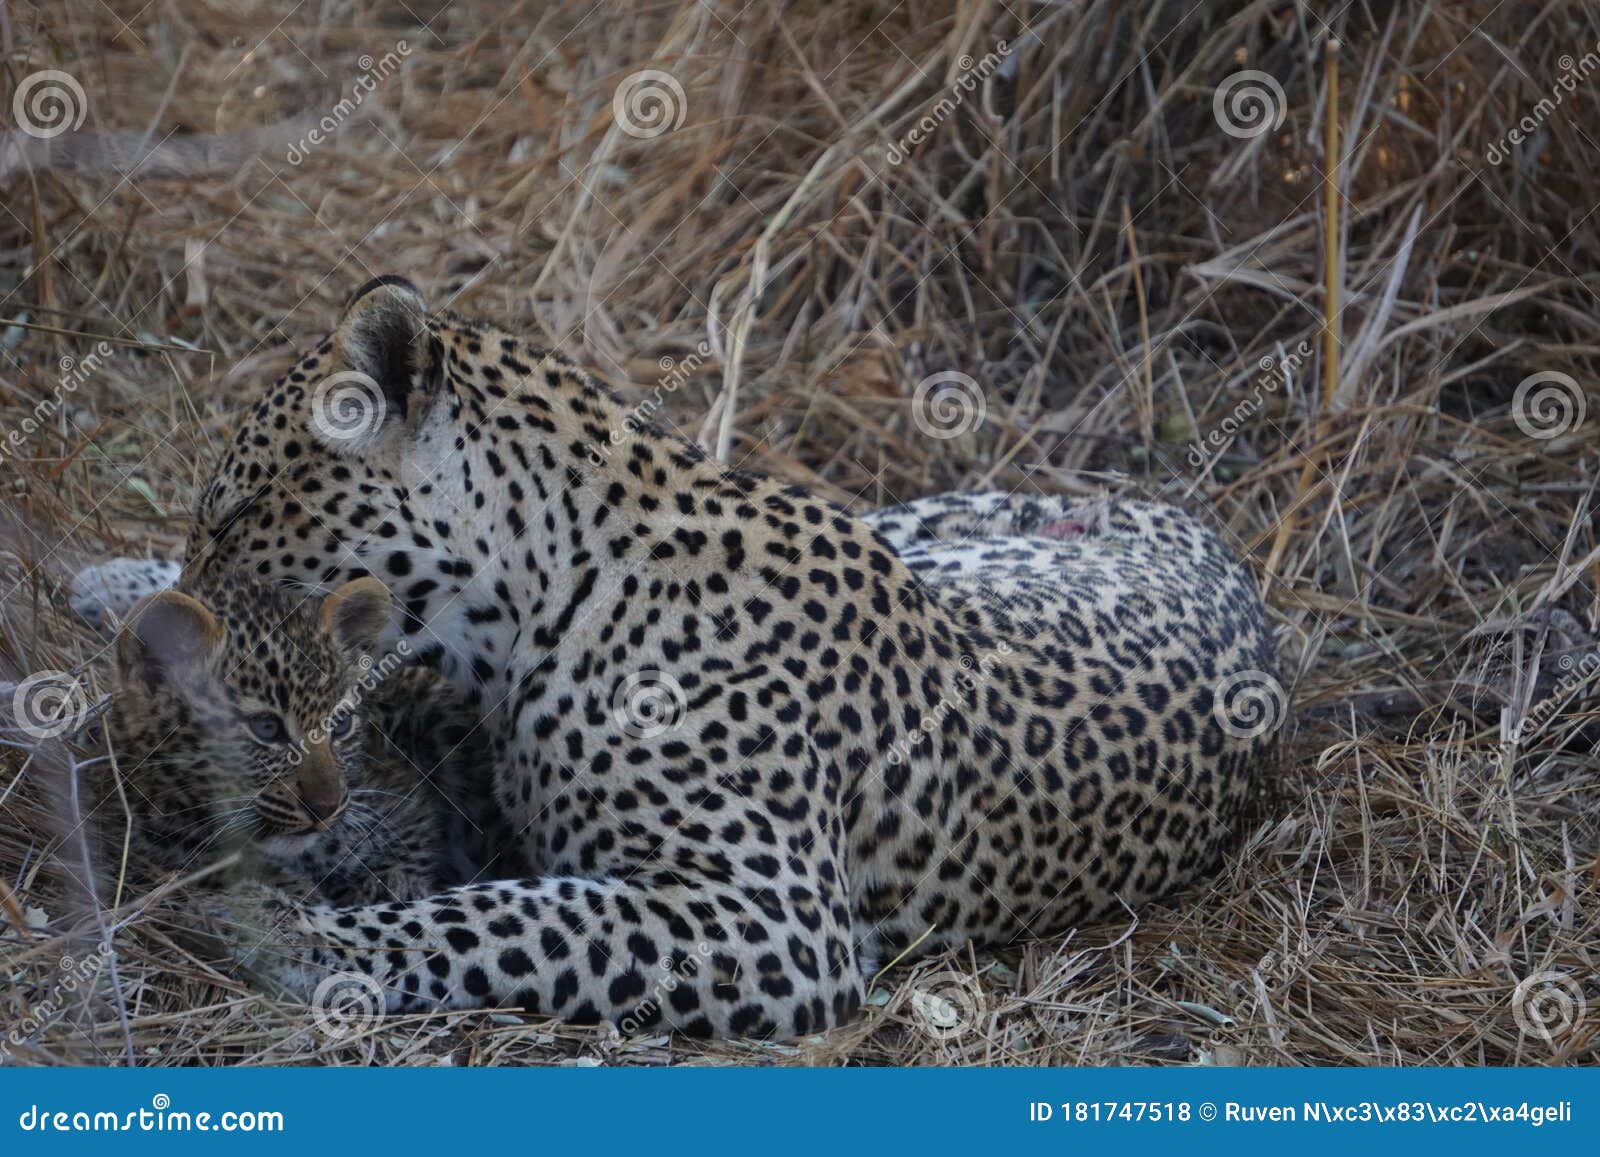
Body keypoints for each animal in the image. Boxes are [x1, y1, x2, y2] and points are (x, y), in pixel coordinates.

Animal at [101, 567, 498, 908]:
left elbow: (412, 844)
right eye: (266, 728)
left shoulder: (403, 805)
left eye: (340, 725)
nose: (326, 808)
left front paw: (393, 883)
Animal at [170, 274, 1278, 1040]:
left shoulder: (771, 916)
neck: (536, 603)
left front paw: (289, 931)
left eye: (233, 517)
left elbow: (497, 917)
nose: (178, 625)